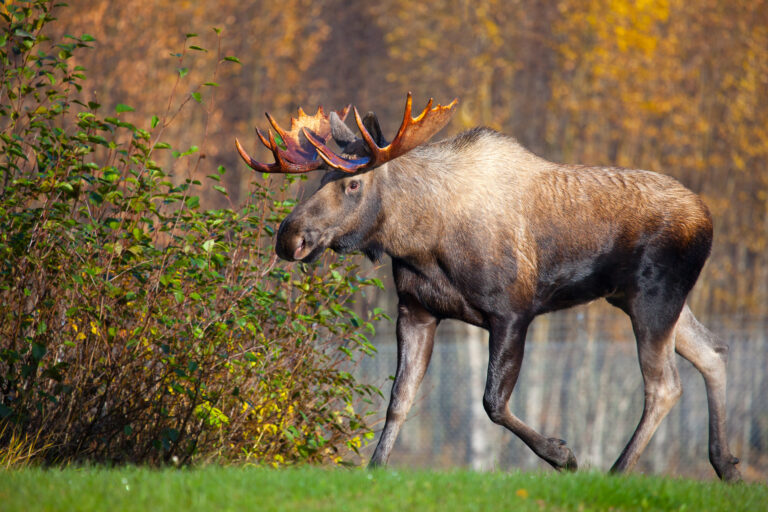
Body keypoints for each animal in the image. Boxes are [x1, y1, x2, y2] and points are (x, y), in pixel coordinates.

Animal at [235, 94, 742, 481]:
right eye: (321, 177)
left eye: (353, 183)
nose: (289, 238)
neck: (420, 240)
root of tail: (708, 218)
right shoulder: (416, 310)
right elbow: (399, 400)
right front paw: (375, 469)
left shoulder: (513, 311)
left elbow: (492, 401)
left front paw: (563, 455)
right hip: (640, 298)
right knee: (713, 351)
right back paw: (726, 465)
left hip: (654, 295)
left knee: (665, 384)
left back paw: (618, 471)